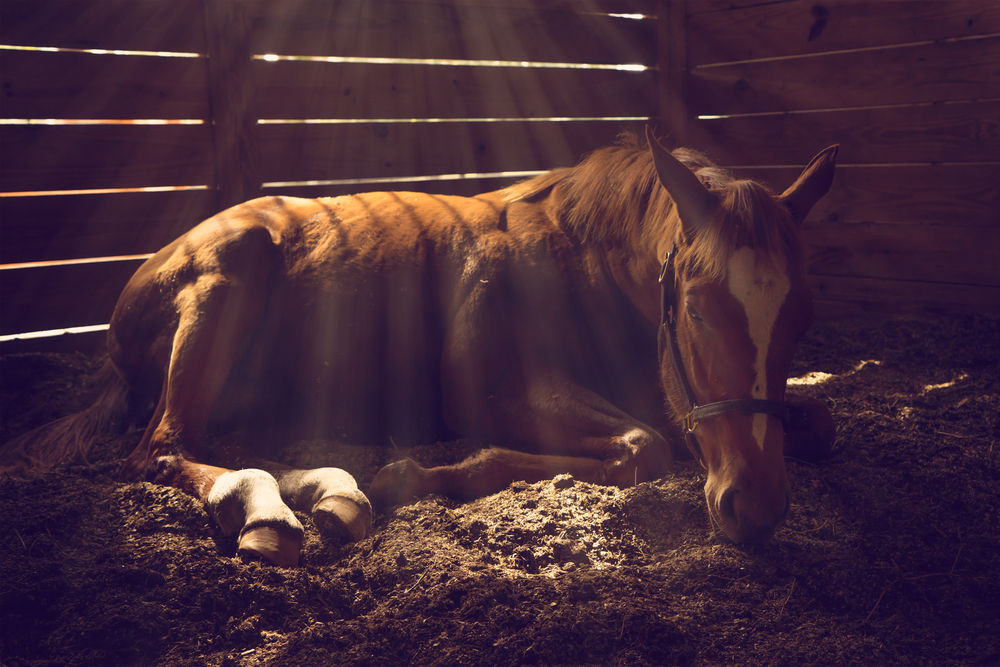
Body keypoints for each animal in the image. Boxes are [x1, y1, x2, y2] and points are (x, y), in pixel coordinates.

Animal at [0, 128, 838, 566]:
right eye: (696, 306)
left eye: (803, 313)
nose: (757, 507)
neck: (579, 256)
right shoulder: (492, 388)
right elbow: (644, 446)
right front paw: (421, 473)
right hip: (225, 280)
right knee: (166, 449)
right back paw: (277, 515)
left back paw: (331, 493)